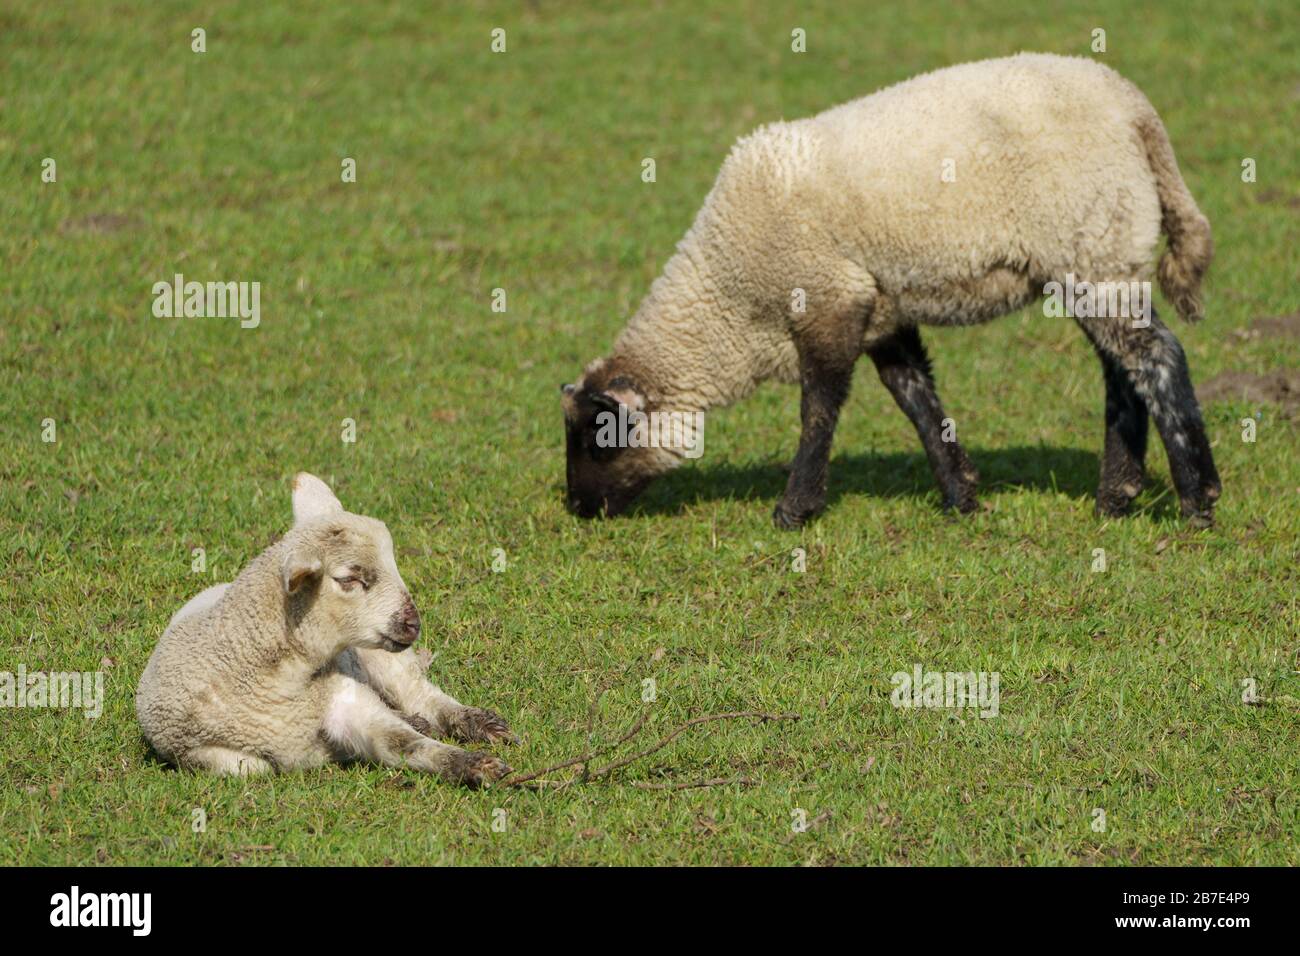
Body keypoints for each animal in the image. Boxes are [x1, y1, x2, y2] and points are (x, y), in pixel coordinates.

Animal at [136, 473, 516, 785]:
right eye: (348, 579)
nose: (413, 624)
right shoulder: (203, 752)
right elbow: (251, 767)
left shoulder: (345, 699)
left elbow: (404, 743)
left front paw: (477, 765)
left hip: (380, 658)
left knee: (423, 695)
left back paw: (482, 724)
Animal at [561, 53, 1221, 528]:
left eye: (600, 438)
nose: (577, 510)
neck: (728, 298)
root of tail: (1136, 110)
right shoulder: (880, 310)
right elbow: (915, 397)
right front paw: (962, 497)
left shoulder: (827, 298)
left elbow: (819, 409)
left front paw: (793, 510)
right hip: (1101, 253)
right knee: (1123, 368)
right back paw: (1116, 497)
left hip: (1090, 243)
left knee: (1156, 357)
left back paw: (1198, 502)